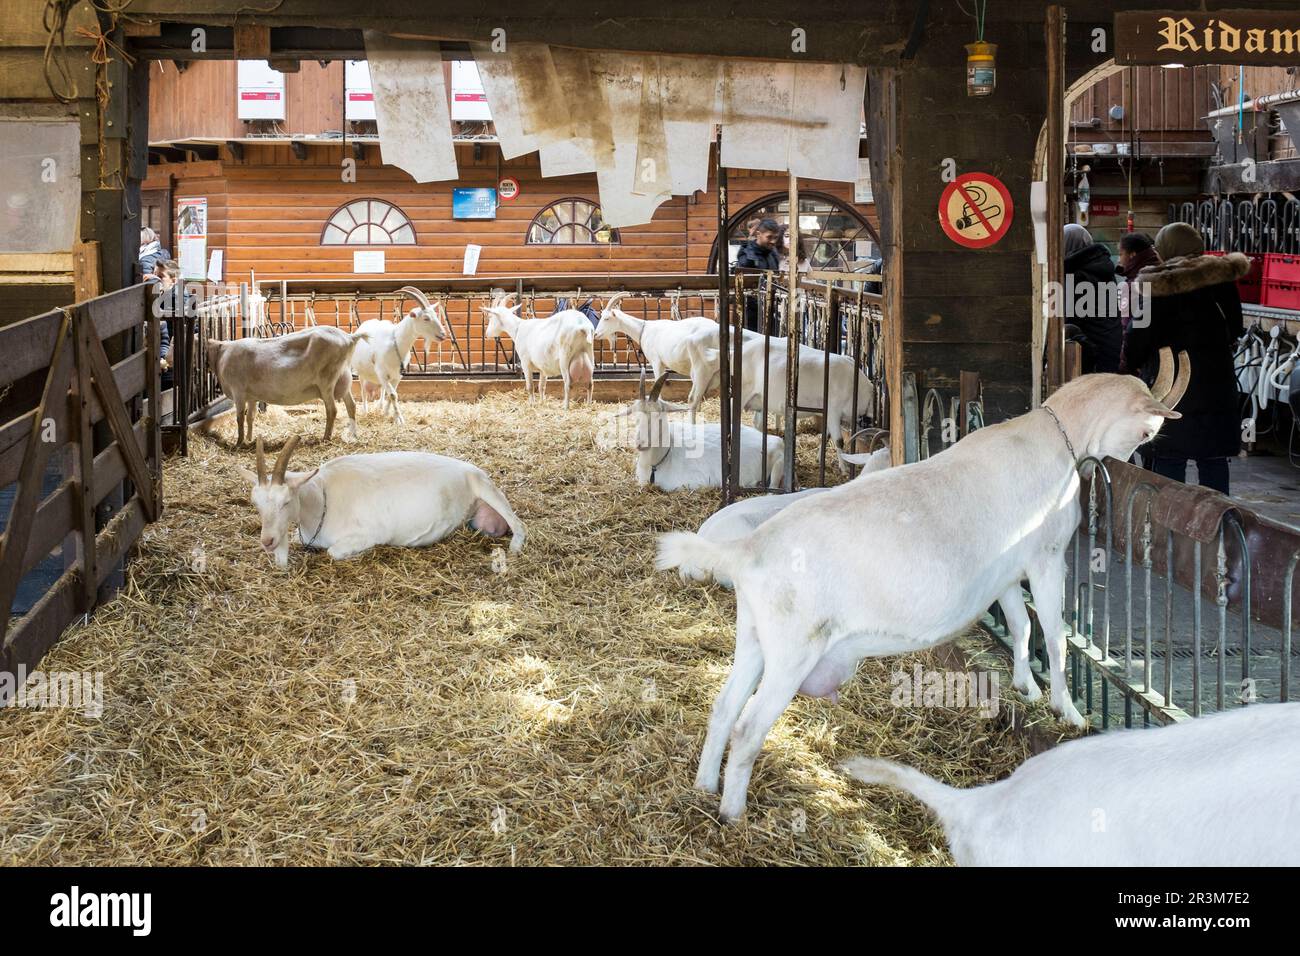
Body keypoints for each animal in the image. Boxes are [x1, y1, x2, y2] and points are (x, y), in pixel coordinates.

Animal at [206, 325, 369, 446]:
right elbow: (250, 417)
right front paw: (249, 439)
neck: (221, 354)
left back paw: (326, 438)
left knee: (332, 410)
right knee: (351, 406)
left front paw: (239, 442)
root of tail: (349, 338)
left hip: (327, 381)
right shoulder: (251, 396)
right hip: (343, 379)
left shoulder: (238, 391)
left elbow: (240, 418)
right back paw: (353, 434)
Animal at [237, 436, 526, 568]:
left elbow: (334, 552)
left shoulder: (368, 533)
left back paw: (514, 547)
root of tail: (471, 469)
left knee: (520, 525)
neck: (322, 500)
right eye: (256, 503)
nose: (267, 541)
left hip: (485, 487)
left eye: (286, 501)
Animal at [351, 287, 448, 425]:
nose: (443, 334)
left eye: (435, 315)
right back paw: (365, 411)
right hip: (361, 373)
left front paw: (388, 414)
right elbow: (393, 395)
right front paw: (399, 419)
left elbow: (392, 393)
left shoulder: (398, 375)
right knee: (363, 390)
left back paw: (380, 407)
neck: (396, 343)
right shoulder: (381, 372)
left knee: (382, 390)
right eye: (426, 318)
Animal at [656, 350, 1191, 820]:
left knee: (723, 707)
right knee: (748, 727)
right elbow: (1055, 639)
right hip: (794, 648)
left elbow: (1020, 626)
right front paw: (1070, 714)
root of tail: (750, 550)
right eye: (1148, 429)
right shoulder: (1046, 556)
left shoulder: (1005, 573)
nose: (1133, 461)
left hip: (754, 635)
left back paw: (703, 788)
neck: (1054, 441)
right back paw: (732, 813)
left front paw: (1026, 688)